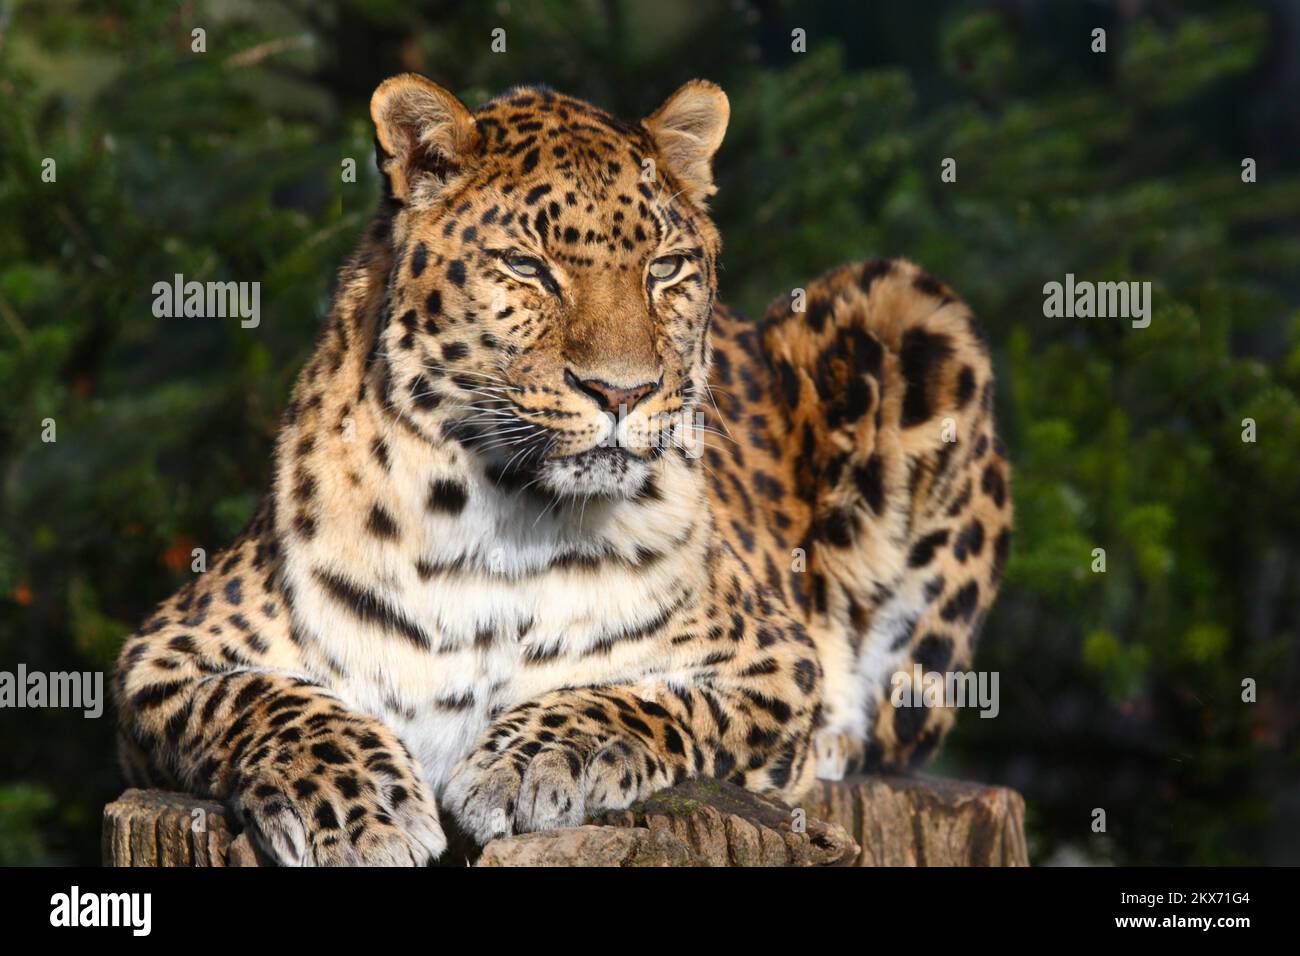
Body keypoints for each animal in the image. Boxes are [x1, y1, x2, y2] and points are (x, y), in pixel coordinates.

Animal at [113, 74, 1012, 865]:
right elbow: (267, 700)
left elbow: (638, 698)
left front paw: (527, 767)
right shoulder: (160, 655)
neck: (499, 523)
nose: (624, 390)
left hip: (909, 305)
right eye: (528, 266)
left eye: (665, 268)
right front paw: (354, 809)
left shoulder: (776, 661)